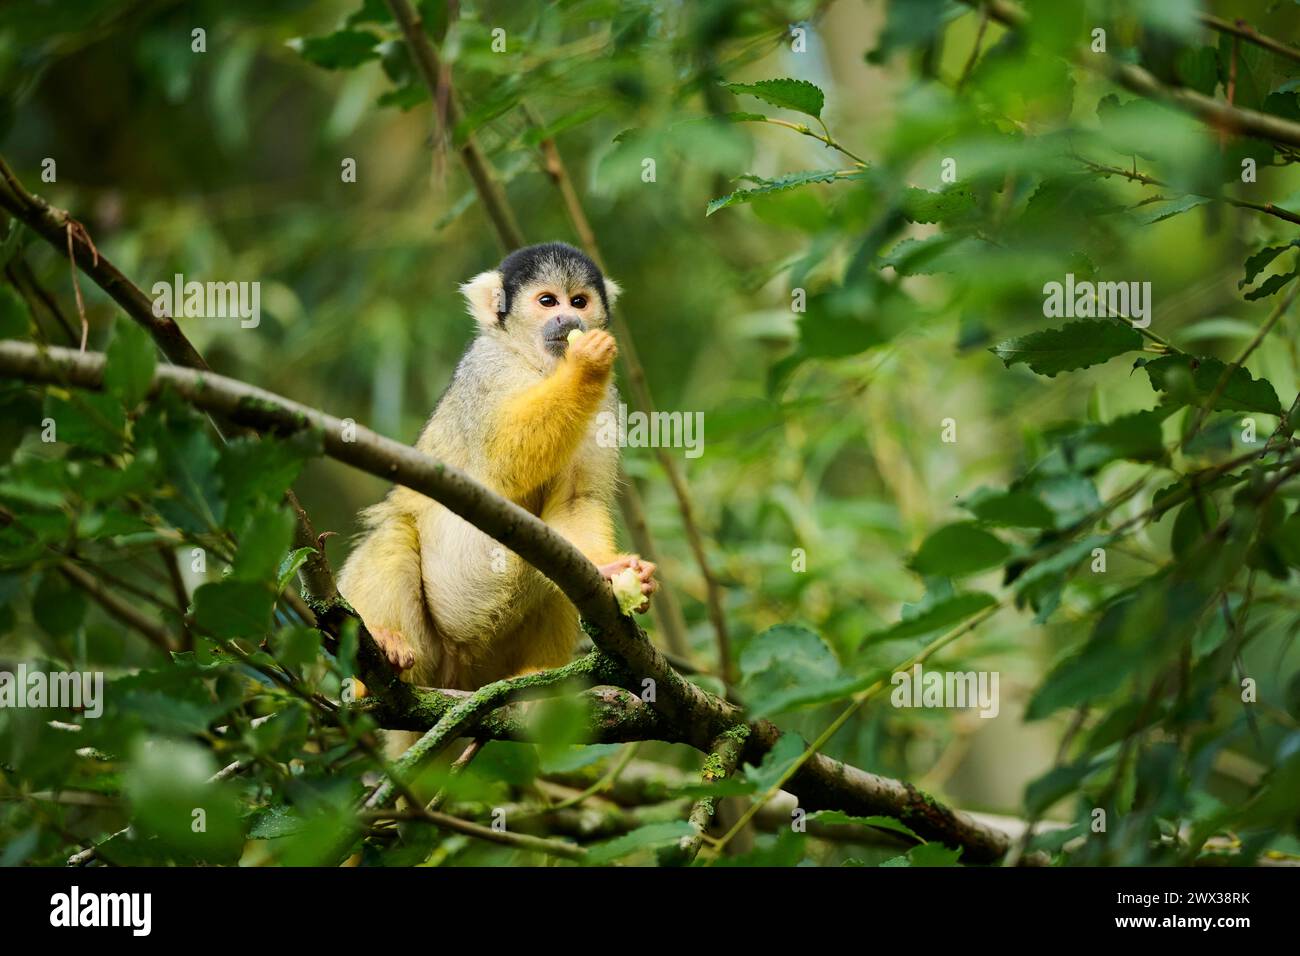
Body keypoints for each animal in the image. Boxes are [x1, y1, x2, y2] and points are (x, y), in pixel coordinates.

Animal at [337, 242, 658, 700]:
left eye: (579, 301)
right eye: (548, 302)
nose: (569, 320)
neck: (538, 365)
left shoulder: (608, 401)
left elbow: (574, 503)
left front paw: (614, 572)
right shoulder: (486, 365)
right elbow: (502, 459)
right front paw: (585, 365)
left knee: (561, 569)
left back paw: (537, 677)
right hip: (428, 653)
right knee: (394, 532)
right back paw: (383, 653)